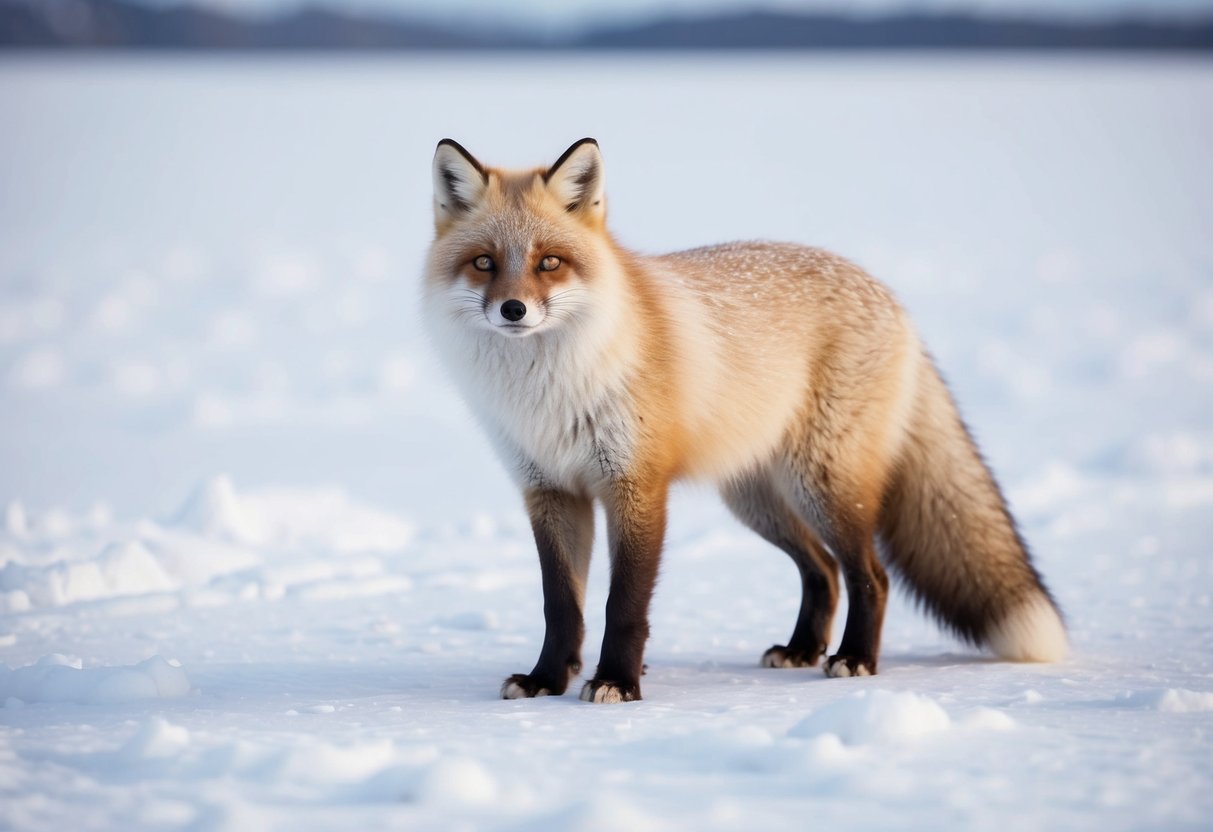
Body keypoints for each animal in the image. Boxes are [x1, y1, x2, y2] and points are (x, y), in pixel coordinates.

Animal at [423, 137, 1067, 704]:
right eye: (484, 263)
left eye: (549, 262)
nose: (513, 310)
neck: (548, 391)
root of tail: (890, 296)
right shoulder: (551, 489)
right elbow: (561, 606)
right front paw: (546, 680)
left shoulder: (636, 487)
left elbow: (623, 605)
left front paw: (618, 684)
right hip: (756, 499)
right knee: (823, 572)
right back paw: (803, 649)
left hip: (824, 485)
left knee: (870, 575)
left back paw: (854, 658)